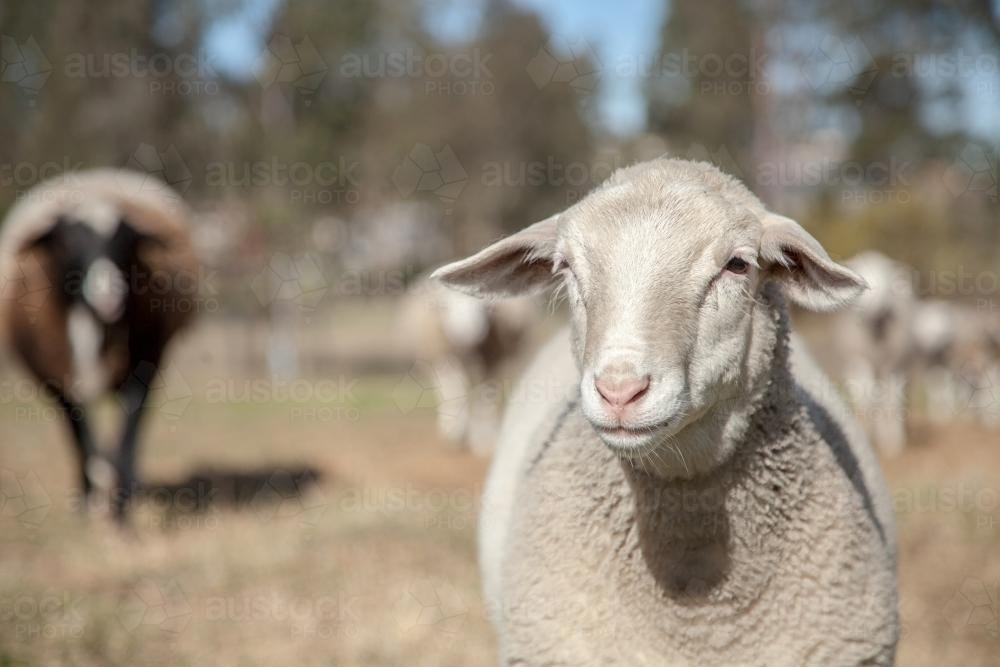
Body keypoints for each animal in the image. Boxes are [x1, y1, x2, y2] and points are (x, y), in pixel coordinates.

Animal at [0, 168, 200, 522]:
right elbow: (82, 437)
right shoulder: (58, 379)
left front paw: (120, 508)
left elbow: (126, 436)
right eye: (66, 241)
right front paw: (92, 497)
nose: (108, 297)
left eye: (126, 241)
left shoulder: (142, 367)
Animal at [402, 274, 538, 454]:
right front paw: (455, 433)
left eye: (481, 303)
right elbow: (454, 391)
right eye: (445, 305)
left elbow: (486, 395)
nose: (466, 332)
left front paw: (484, 438)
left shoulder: (493, 360)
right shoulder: (445, 356)